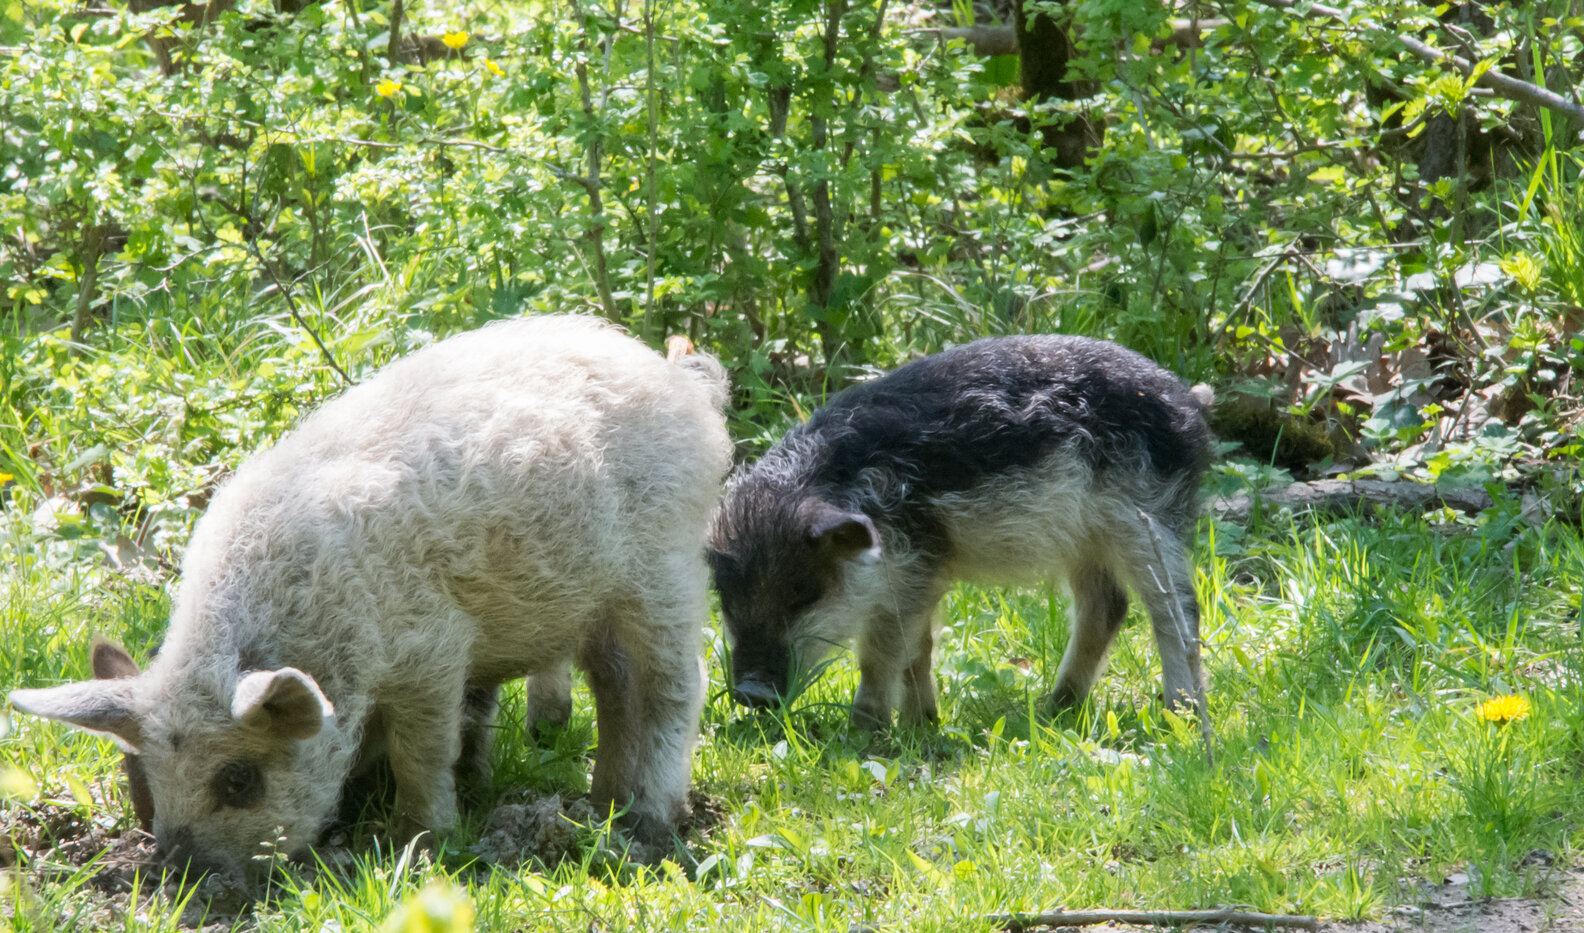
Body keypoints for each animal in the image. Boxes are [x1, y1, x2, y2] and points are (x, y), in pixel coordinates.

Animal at [10, 315, 733, 879]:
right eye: (152, 776)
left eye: (238, 779)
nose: (185, 877)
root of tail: (683, 387)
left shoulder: (434, 647)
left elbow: (426, 750)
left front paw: (423, 842)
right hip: (594, 603)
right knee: (614, 685)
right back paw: (602, 802)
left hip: (665, 567)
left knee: (675, 684)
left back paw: (647, 823)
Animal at [706, 335, 1213, 731]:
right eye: (725, 595)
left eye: (803, 590)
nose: (750, 692)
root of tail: (1191, 402)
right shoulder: (922, 569)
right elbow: (918, 647)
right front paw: (921, 725)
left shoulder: (912, 563)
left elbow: (882, 651)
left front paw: (863, 730)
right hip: (1087, 540)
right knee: (1106, 606)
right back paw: (1054, 709)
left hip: (1147, 517)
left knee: (1176, 608)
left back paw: (1180, 715)